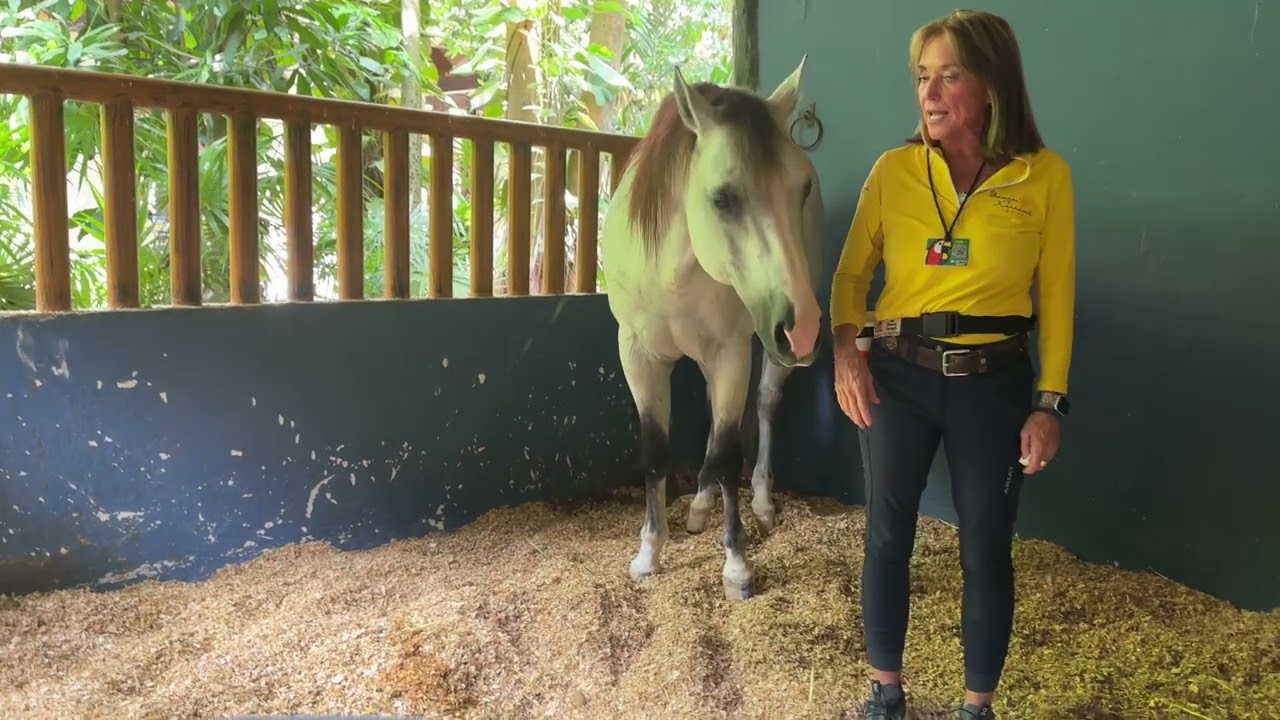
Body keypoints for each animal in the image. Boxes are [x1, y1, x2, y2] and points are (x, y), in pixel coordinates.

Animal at [599, 56, 825, 601]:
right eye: (722, 198)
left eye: (802, 188)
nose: (804, 329)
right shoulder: (636, 355)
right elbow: (655, 450)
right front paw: (649, 551)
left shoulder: (732, 352)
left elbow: (727, 453)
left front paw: (737, 565)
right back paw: (700, 506)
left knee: (763, 404)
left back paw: (760, 501)